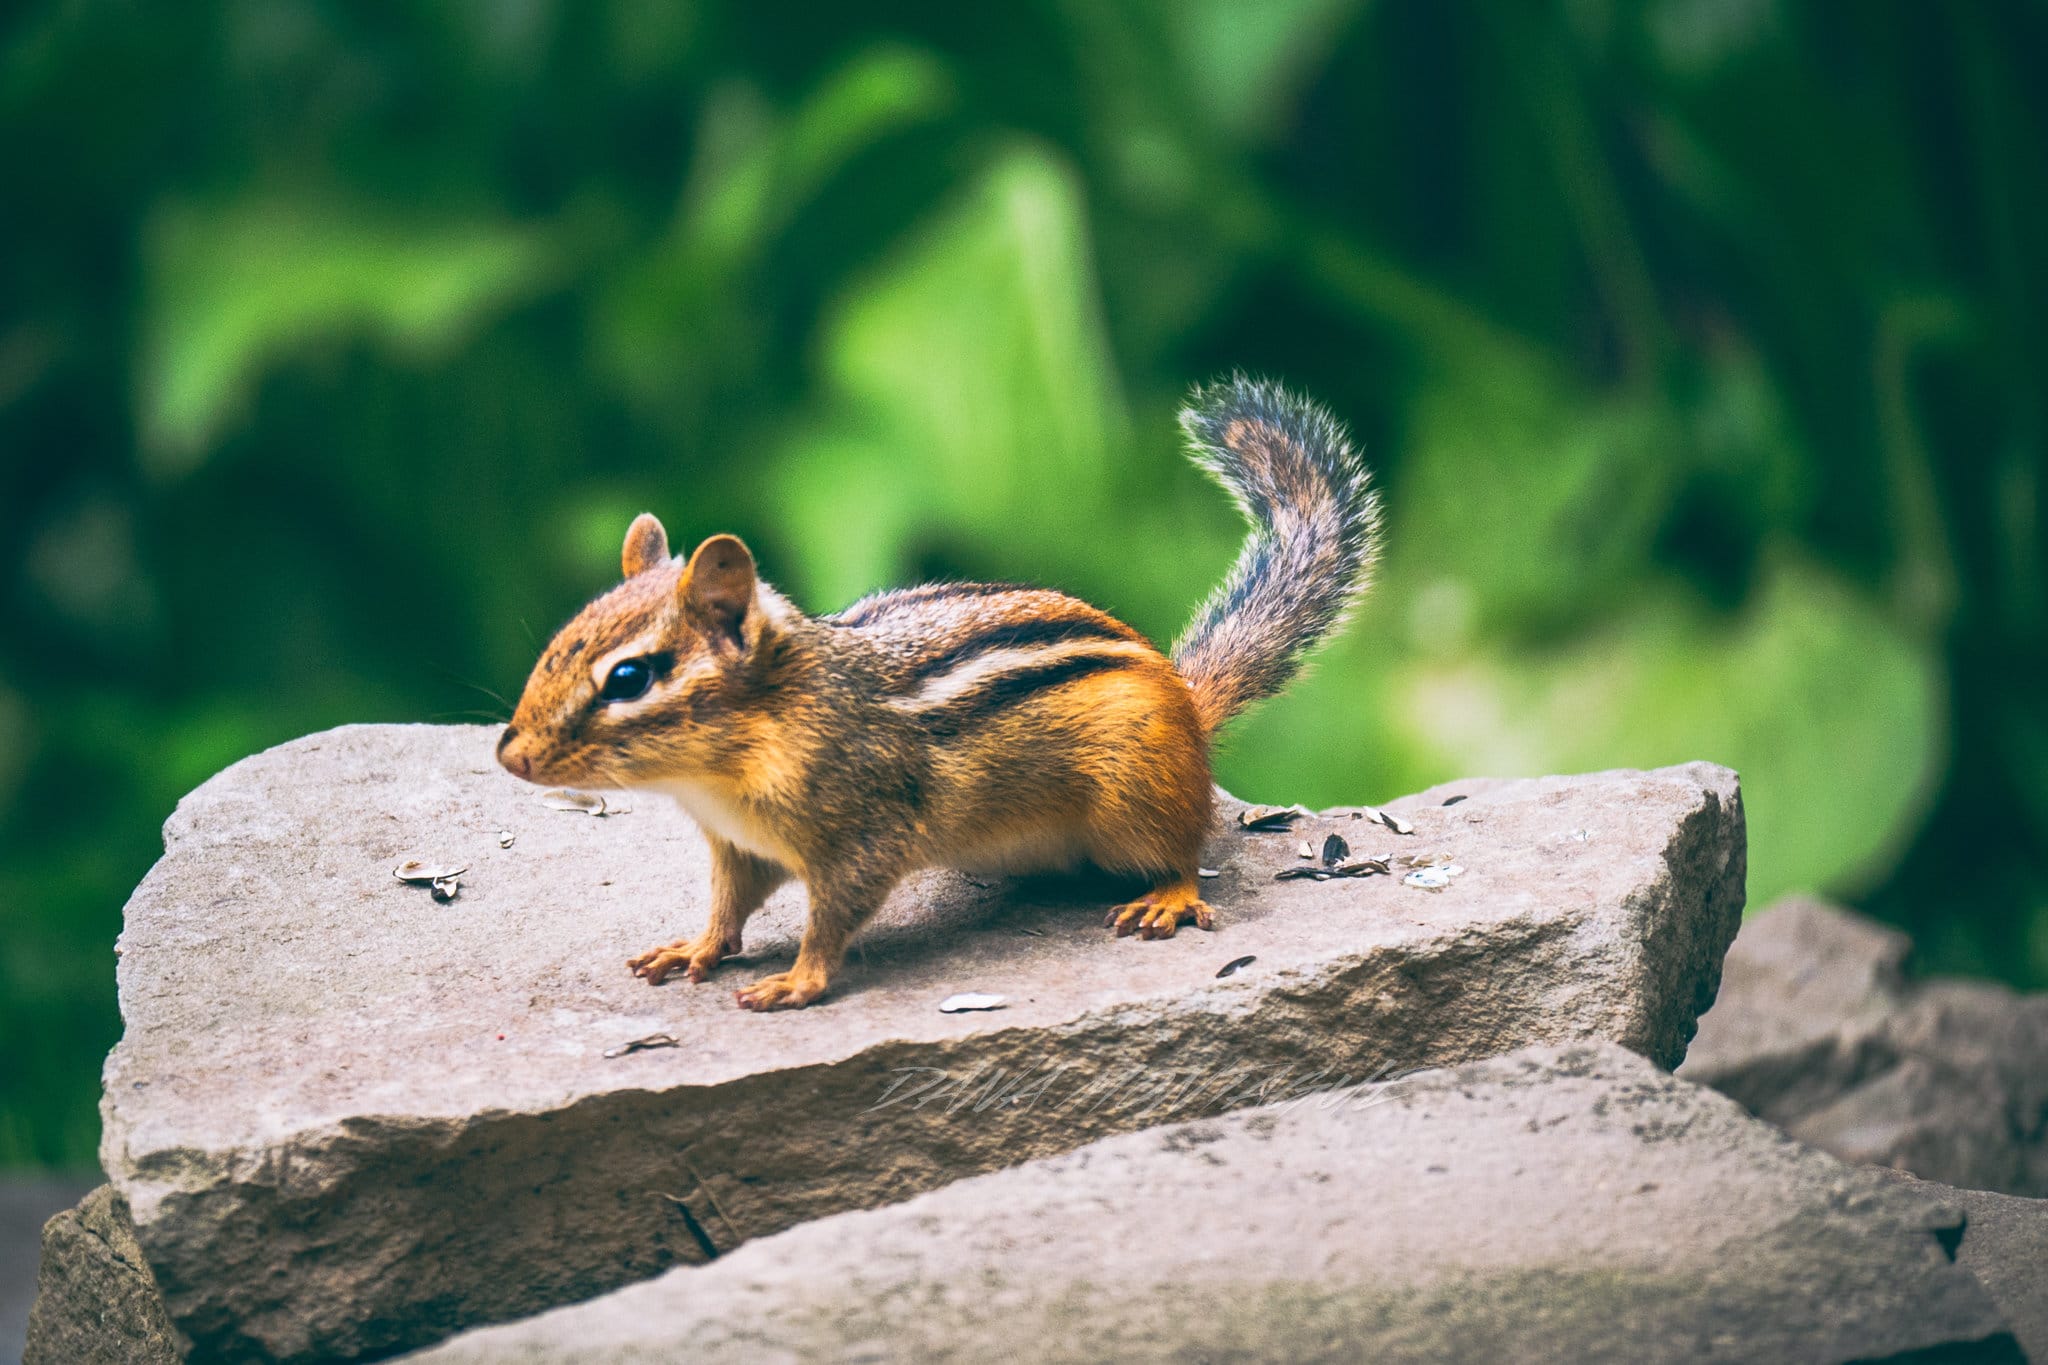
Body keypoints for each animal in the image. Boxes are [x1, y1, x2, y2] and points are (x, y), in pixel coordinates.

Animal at [498, 377, 1382, 1010]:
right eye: (561, 637)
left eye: (628, 677)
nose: (509, 755)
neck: (724, 765)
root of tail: (1185, 699)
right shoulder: (739, 846)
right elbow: (728, 906)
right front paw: (696, 946)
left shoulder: (864, 831)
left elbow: (833, 916)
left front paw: (801, 979)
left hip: (1136, 795)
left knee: (1184, 851)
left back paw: (1166, 896)